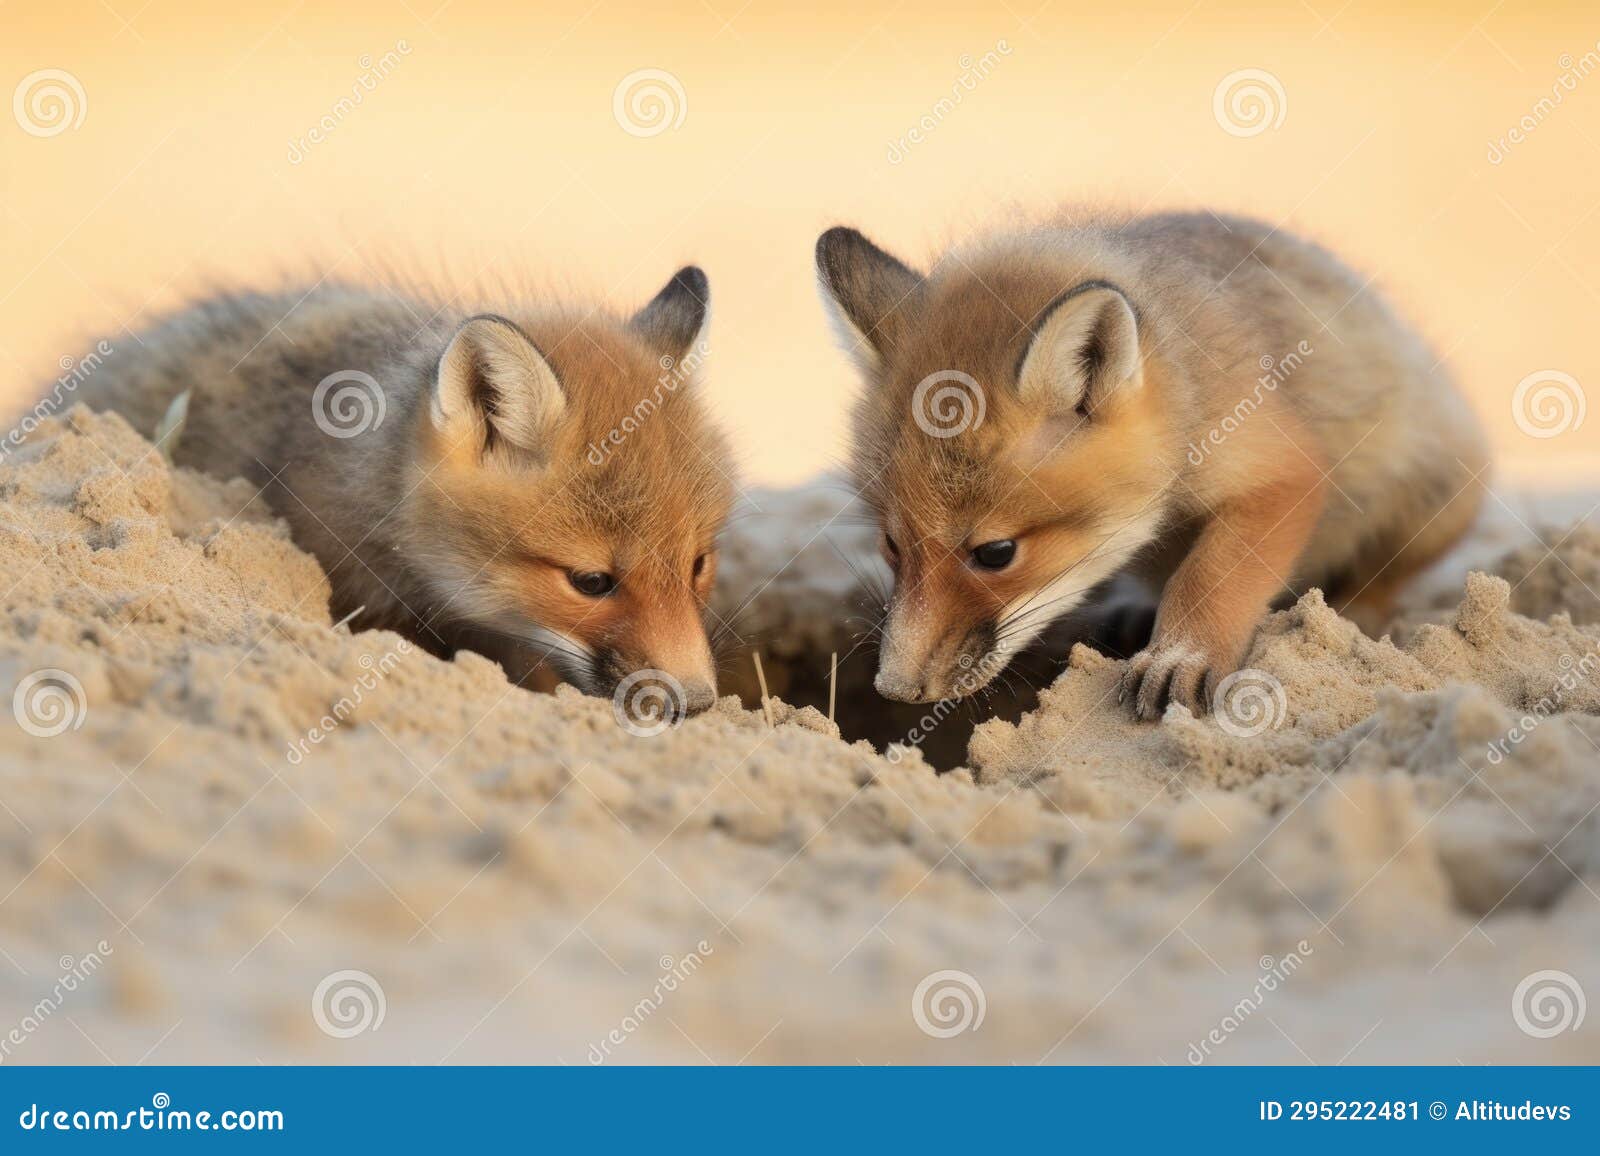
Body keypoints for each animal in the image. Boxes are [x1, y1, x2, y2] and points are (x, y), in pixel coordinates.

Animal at [816, 210, 1488, 720]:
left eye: (995, 553)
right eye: (892, 545)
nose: (894, 689)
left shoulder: (1281, 464)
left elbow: (1212, 575)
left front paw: (1181, 656)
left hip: (1432, 500)